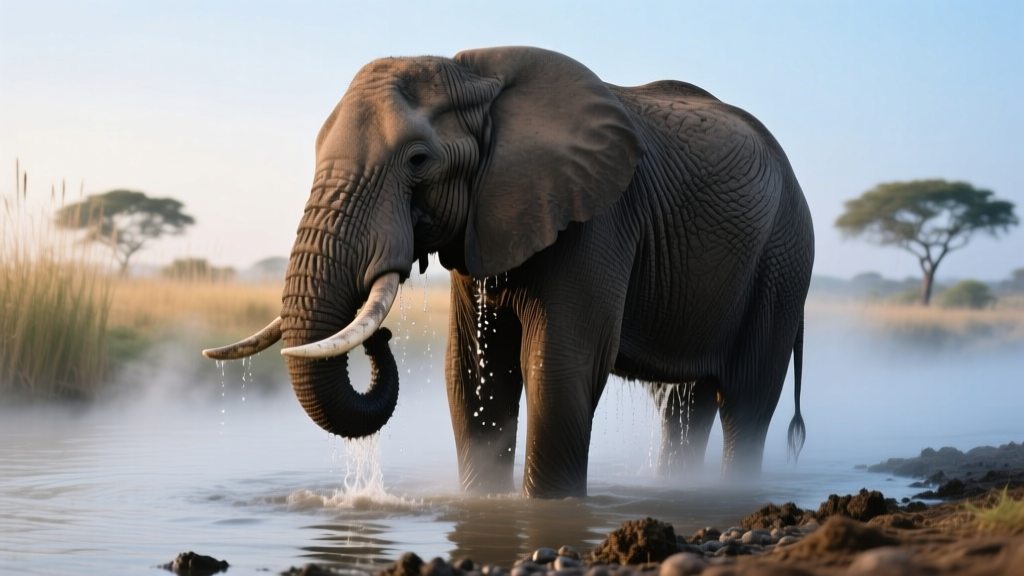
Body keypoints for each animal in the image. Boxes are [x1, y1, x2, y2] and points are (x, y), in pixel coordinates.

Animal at [204, 46, 814, 498]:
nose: (384, 335)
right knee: (685, 405)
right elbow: (475, 374)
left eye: (418, 160)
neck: (478, 80)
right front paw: (482, 505)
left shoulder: (595, 219)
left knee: (746, 400)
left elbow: (559, 369)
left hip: (783, 260)